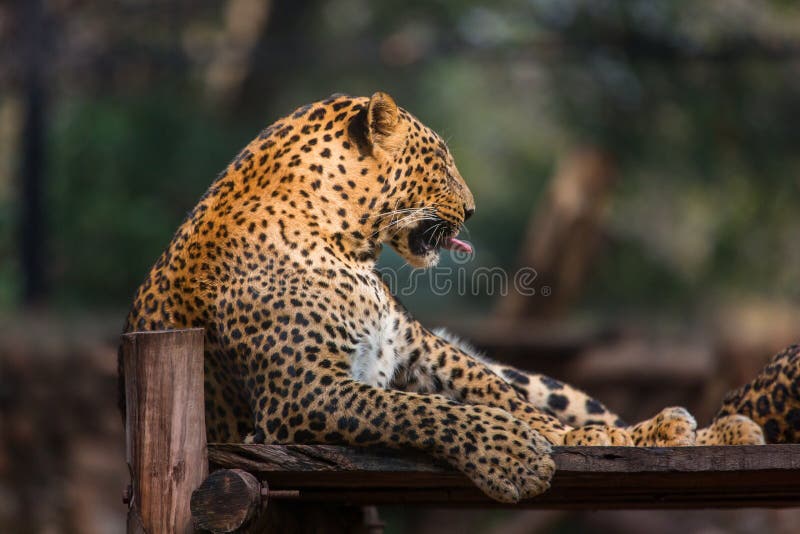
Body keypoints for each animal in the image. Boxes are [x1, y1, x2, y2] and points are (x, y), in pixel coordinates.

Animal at [121, 91, 763, 503]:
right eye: (441, 160)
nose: (474, 210)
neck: (346, 243)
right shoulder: (303, 394)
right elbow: (421, 411)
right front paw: (513, 456)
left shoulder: (419, 349)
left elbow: (497, 398)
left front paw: (570, 440)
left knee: (570, 400)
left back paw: (696, 429)